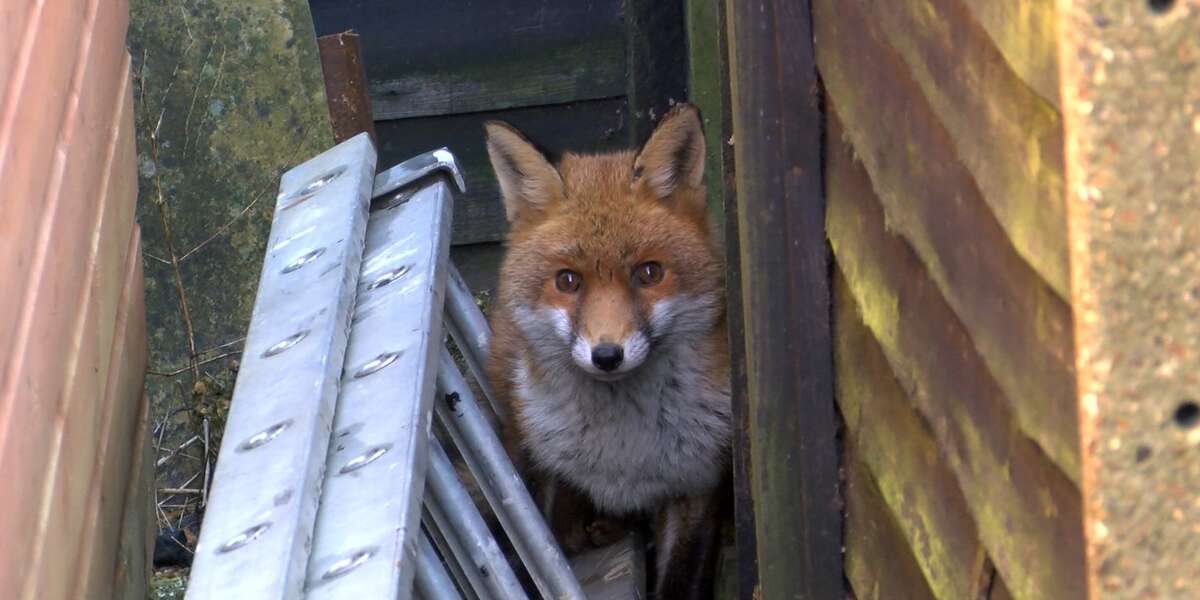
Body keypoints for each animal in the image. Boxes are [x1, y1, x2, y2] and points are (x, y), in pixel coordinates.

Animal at [482, 104, 732, 600]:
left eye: (649, 273)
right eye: (567, 281)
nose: (607, 355)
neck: (622, 449)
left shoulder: (698, 483)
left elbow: (679, 582)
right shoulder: (533, 469)